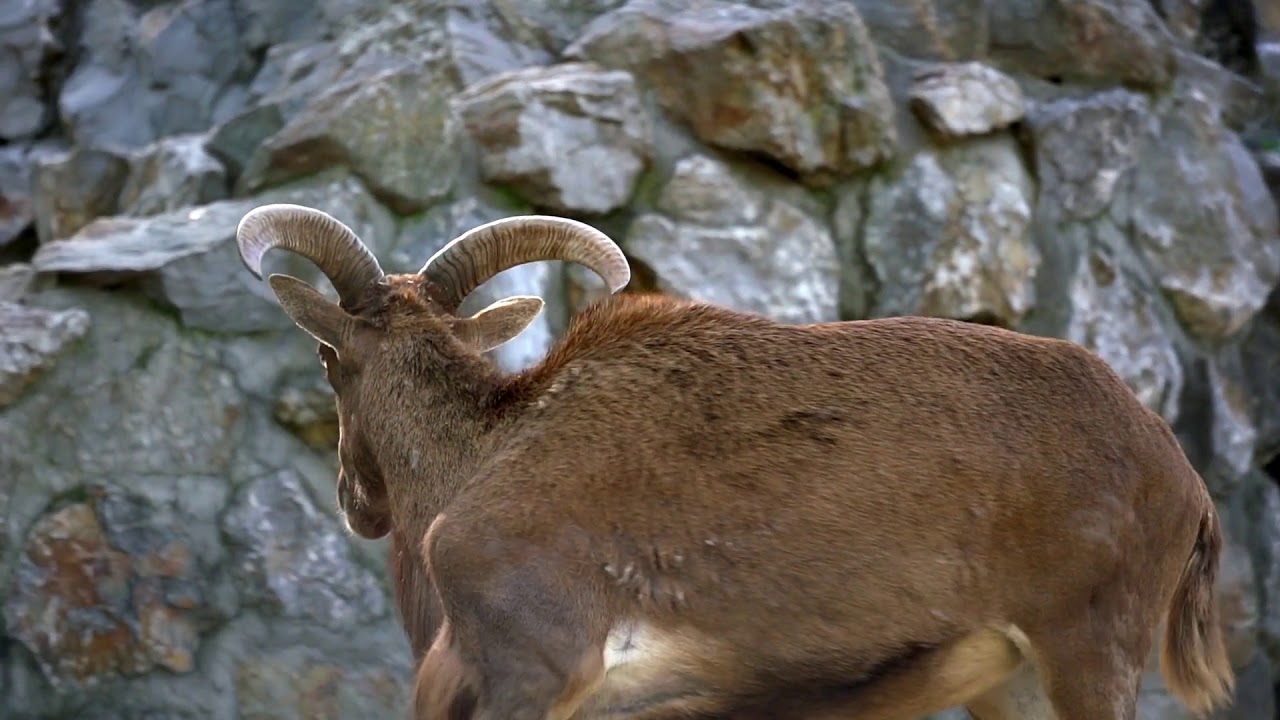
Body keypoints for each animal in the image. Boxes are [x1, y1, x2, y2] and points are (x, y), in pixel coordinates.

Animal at [235, 203, 1234, 720]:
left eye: (327, 356)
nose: (356, 500)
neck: (485, 456)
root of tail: (1183, 480)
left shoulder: (534, 673)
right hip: (1014, 683)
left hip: (1089, 652)